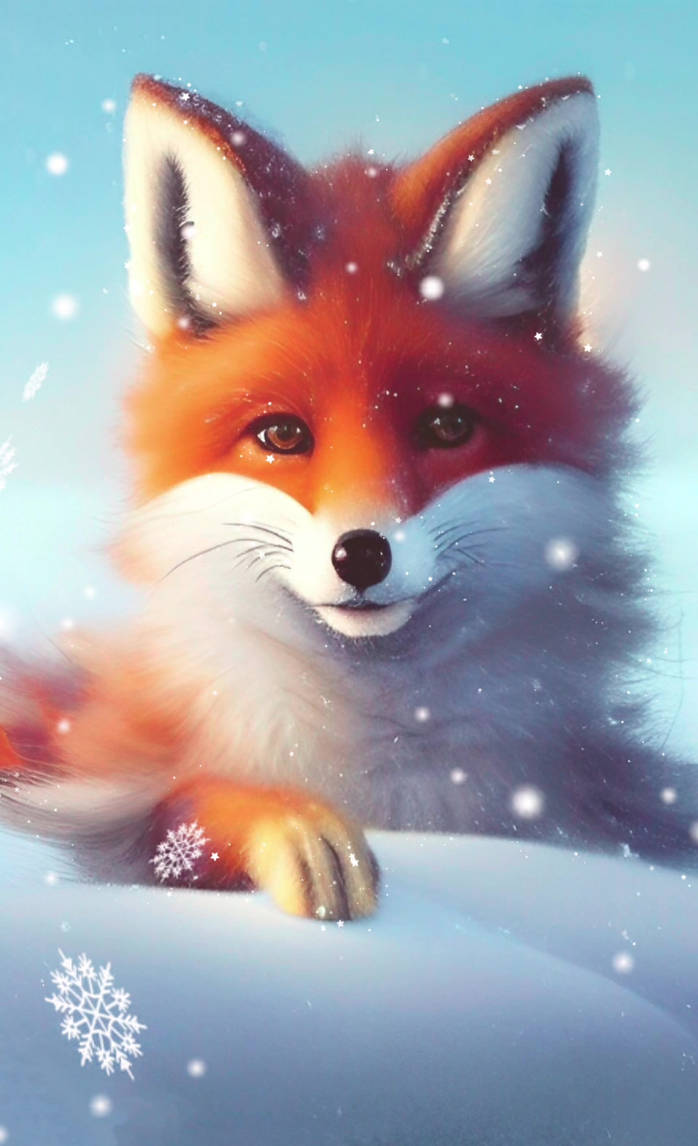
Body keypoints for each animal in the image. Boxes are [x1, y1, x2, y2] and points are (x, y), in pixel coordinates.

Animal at [1, 74, 695, 920]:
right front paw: (293, 827)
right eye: (282, 435)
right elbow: (175, 807)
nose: (361, 554)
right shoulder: (96, 769)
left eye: (447, 426)